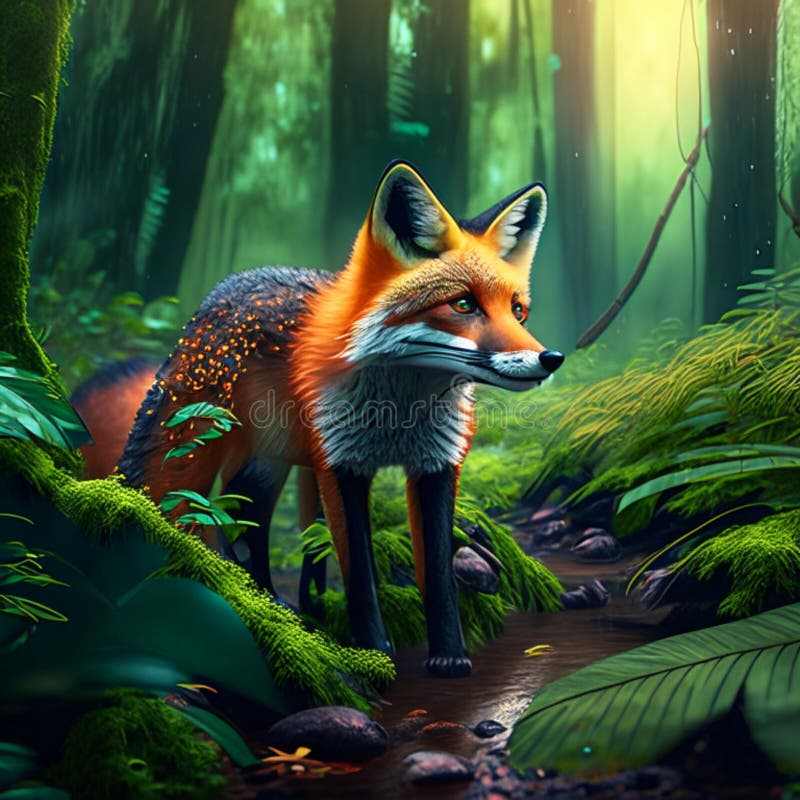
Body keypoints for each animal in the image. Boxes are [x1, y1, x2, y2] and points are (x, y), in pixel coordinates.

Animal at [75, 161, 563, 678]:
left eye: (518, 310)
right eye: (464, 304)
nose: (550, 358)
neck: (398, 416)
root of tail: (225, 289)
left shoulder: (436, 464)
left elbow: (436, 572)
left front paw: (449, 655)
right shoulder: (340, 465)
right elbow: (359, 576)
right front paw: (373, 655)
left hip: (266, 466)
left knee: (240, 527)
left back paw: (271, 605)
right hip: (192, 457)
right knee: (183, 514)